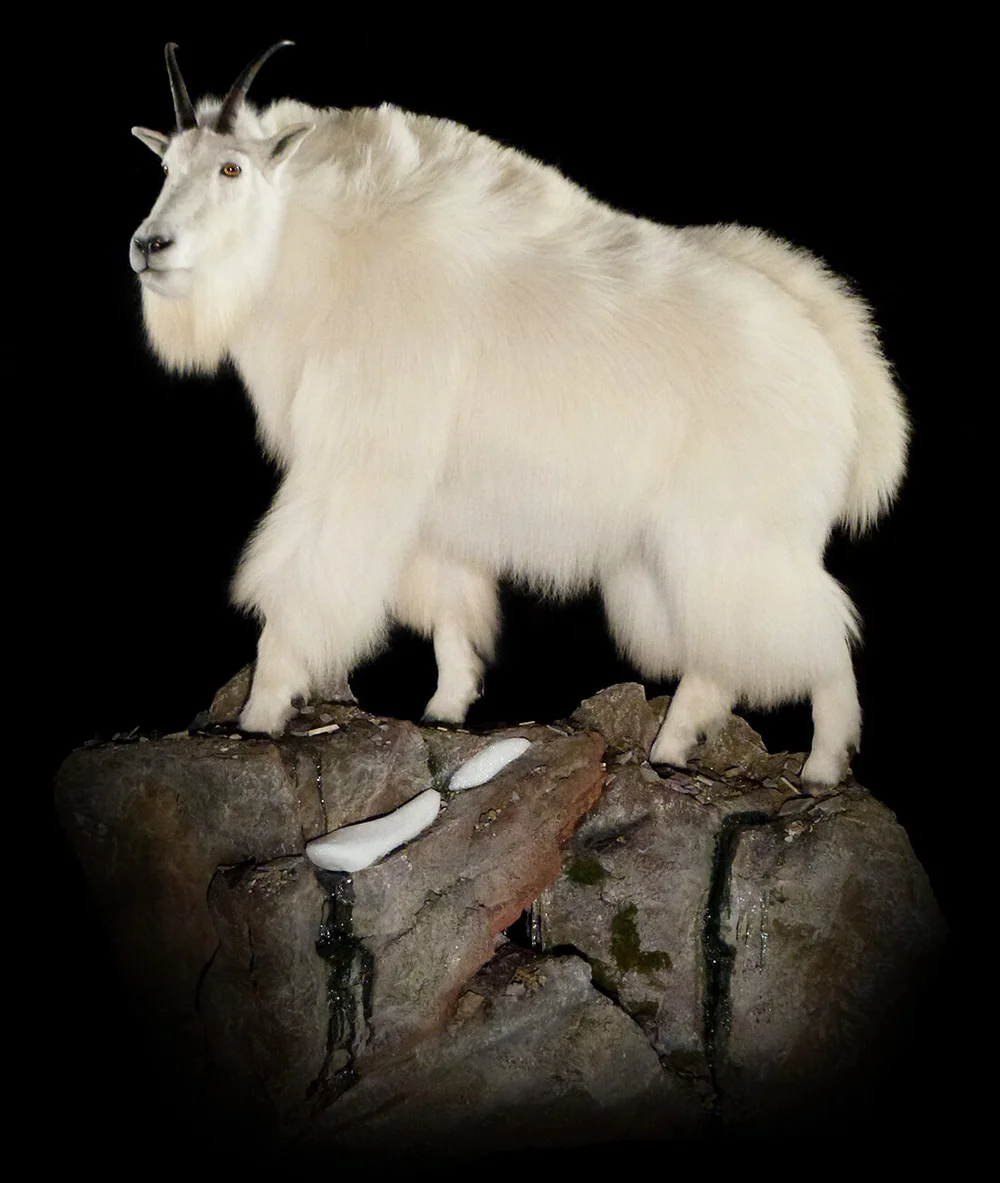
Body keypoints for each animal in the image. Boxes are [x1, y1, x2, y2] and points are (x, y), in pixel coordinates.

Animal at [130, 42, 907, 786]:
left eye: (232, 168)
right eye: (166, 165)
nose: (149, 246)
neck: (323, 257)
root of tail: (839, 359)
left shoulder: (353, 470)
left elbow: (299, 584)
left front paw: (261, 712)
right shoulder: (431, 505)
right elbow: (450, 607)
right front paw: (447, 706)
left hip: (739, 538)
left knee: (817, 637)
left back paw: (821, 765)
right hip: (669, 554)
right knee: (719, 656)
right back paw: (671, 748)